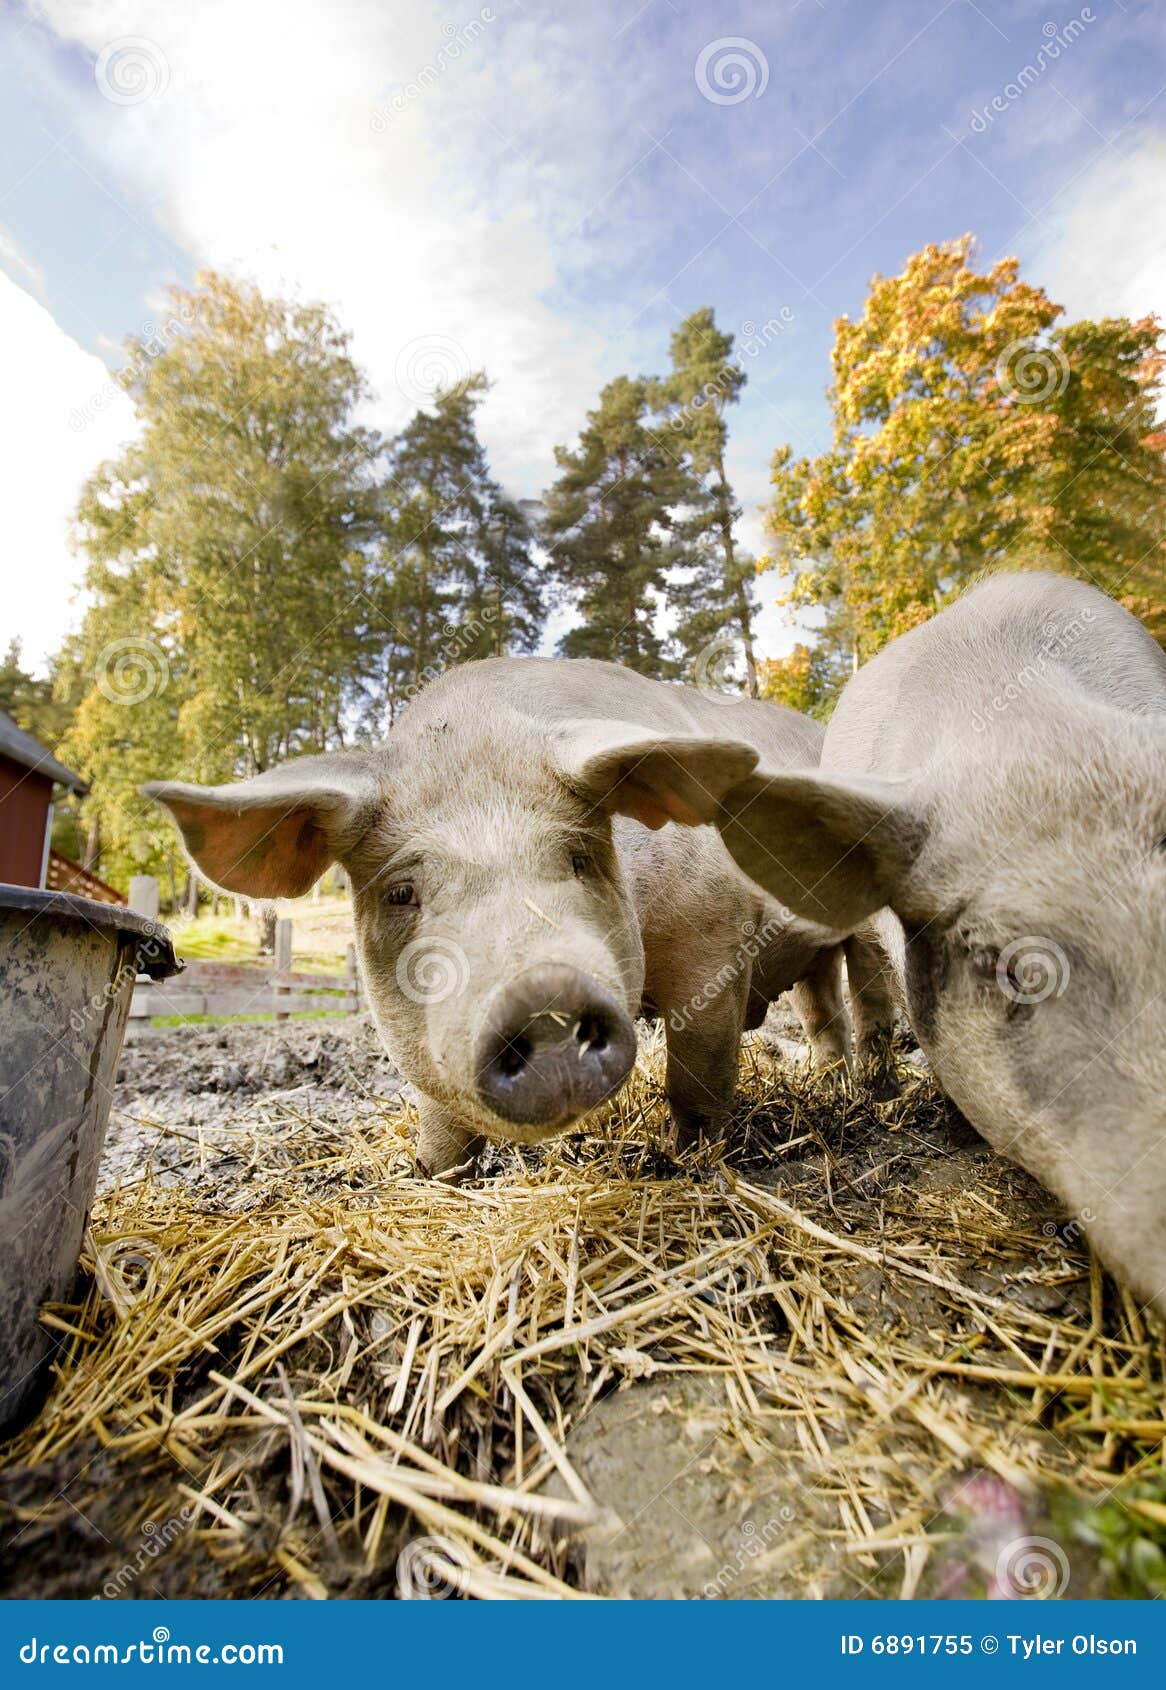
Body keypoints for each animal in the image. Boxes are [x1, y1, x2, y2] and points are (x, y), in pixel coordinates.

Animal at [146, 659, 887, 1175]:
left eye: (579, 858)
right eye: (401, 893)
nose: (542, 994)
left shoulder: (714, 940)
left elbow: (697, 1077)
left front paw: (689, 1162)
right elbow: (440, 1119)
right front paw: (428, 1174)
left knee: (875, 1000)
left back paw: (876, 1094)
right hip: (812, 958)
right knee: (823, 1011)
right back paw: (833, 1083)